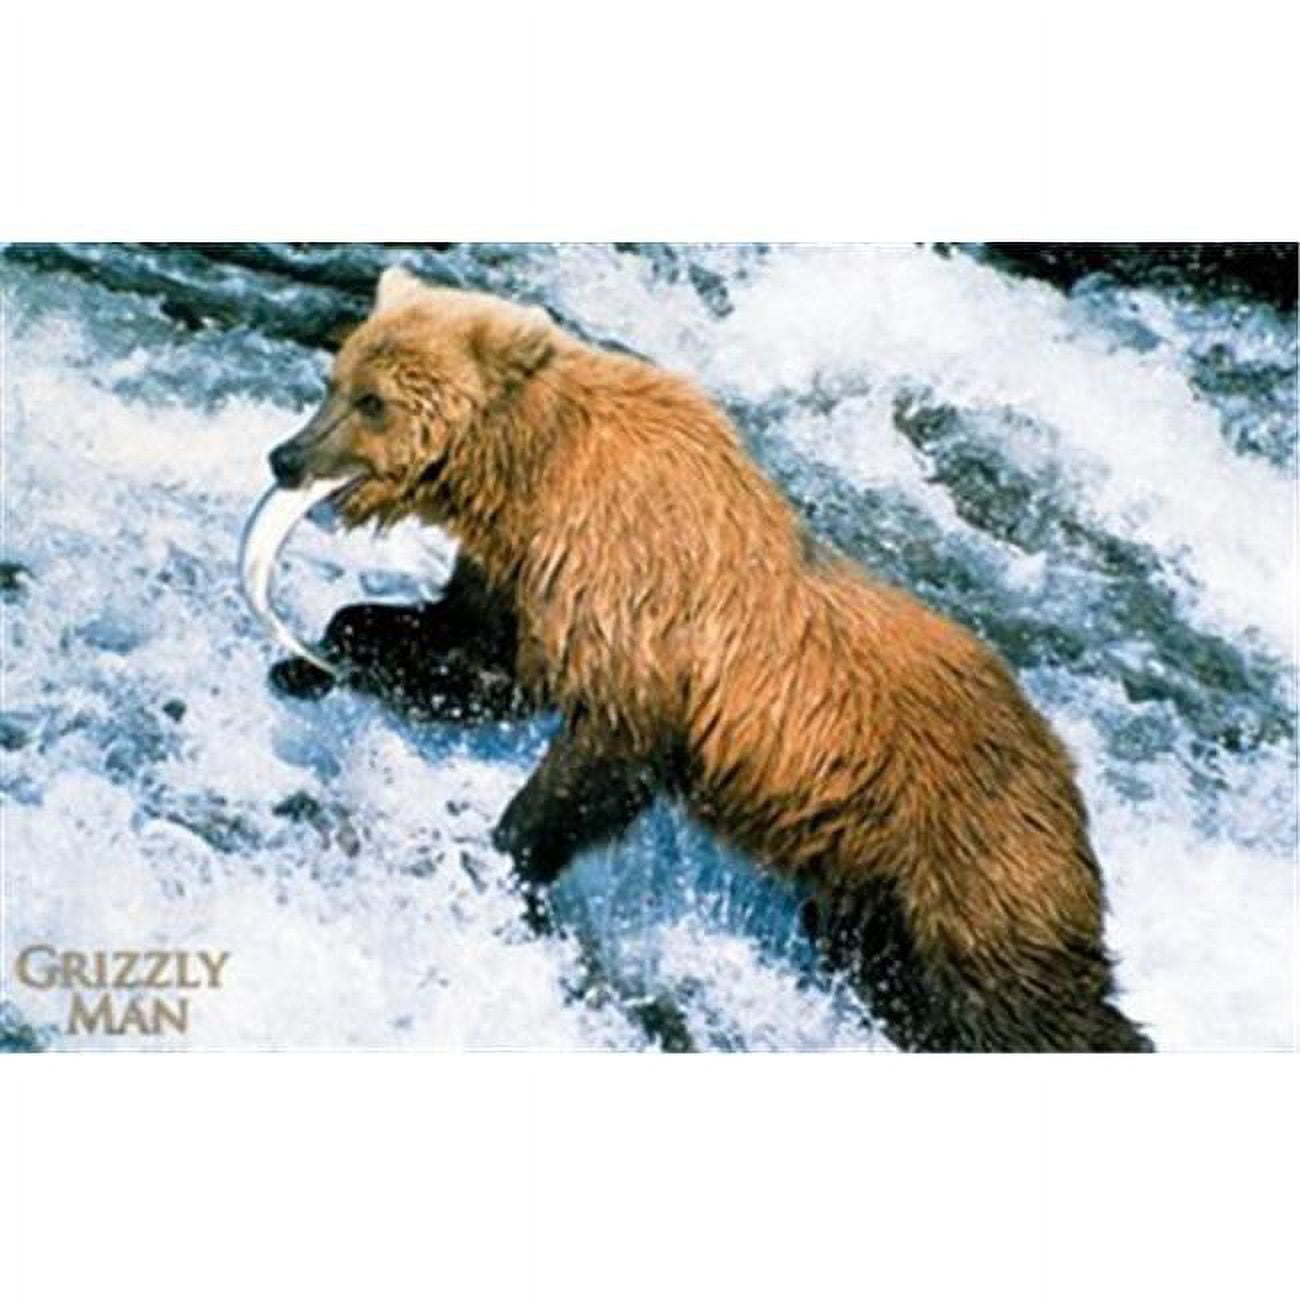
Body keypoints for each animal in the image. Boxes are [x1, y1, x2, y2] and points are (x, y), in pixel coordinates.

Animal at [267, 265, 1152, 1052]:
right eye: (335, 379)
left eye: (373, 402)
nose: (286, 456)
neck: (530, 478)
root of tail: (1067, 765)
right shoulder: (526, 582)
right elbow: (471, 660)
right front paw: (312, 660)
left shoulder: (635, 608)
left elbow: (593, 766)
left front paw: (508, 852)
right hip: (873, 891)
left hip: (973, 854)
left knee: (1022, 1001)